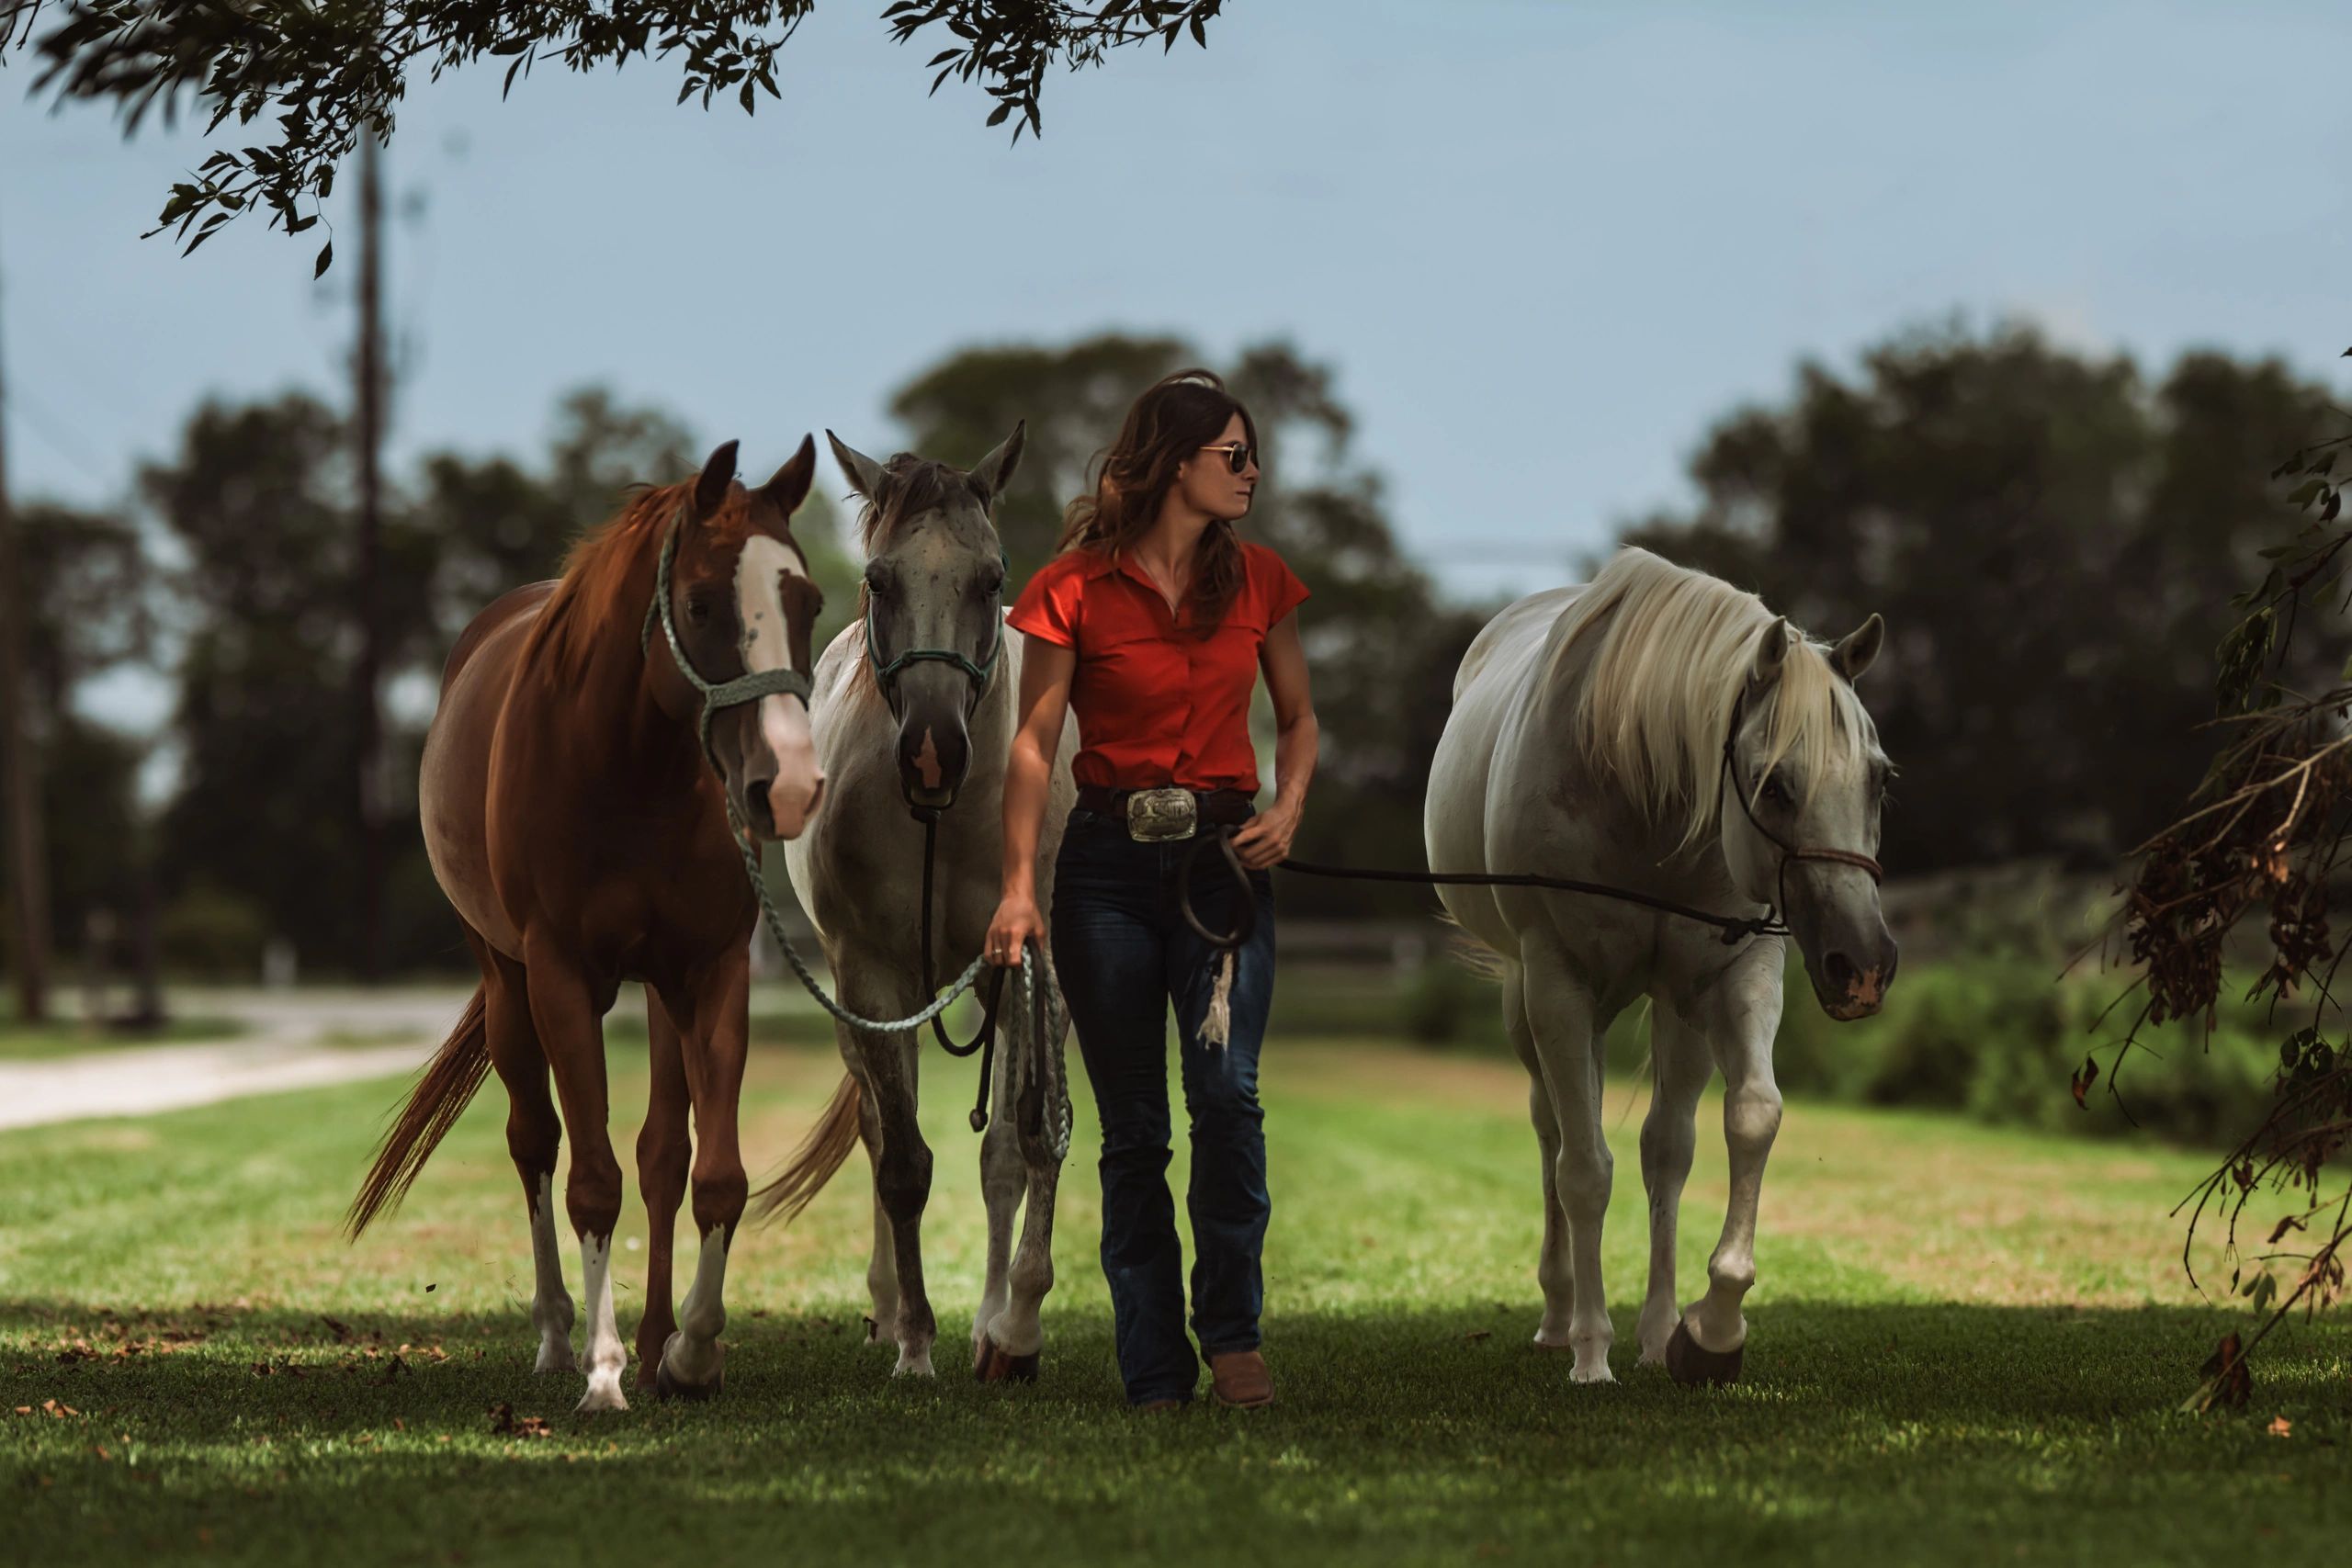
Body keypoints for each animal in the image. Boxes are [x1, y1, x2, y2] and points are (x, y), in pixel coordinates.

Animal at [344, 438, 828, 1413]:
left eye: (811, 601)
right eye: (702, 602)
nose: (790, 785)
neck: (631, 766)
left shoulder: (711, 971)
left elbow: (714, 1175)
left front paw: (691, 1352)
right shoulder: (562, 978)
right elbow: (592, 1180)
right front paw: (603, 1373)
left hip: (661, 993)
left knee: (663, 1154)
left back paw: (654, 1344)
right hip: (506, 983)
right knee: (536, 1142)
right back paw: (561, 1339)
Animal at [754, 428, 1078, 1382]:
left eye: (992, 577)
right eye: (878, 578)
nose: (933, 750)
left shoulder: (1030, 970)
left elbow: (1024, 1144)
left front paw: (1015, 1328)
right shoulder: (870, 980)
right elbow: (900, 1161)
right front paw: (916, 1342)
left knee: (1000, 1153)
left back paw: (990, 1318)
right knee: (874, 1133)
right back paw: (894, 1308)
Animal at [1425, 546, 1895, 1387]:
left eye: (1880, 779)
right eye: (1776, 784)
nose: (1864, 964)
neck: (1637, 783)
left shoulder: (1735, 973)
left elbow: (1748, 1117)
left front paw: (1710, 1329)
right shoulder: (1559, 983)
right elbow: (1584, 1169)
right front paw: (1590, 1352)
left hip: (1675, 1009)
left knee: (1663, 1149)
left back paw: (1652, 1331)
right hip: (1530, 1001)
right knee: (1555, 1134)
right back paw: (1563, 1317)